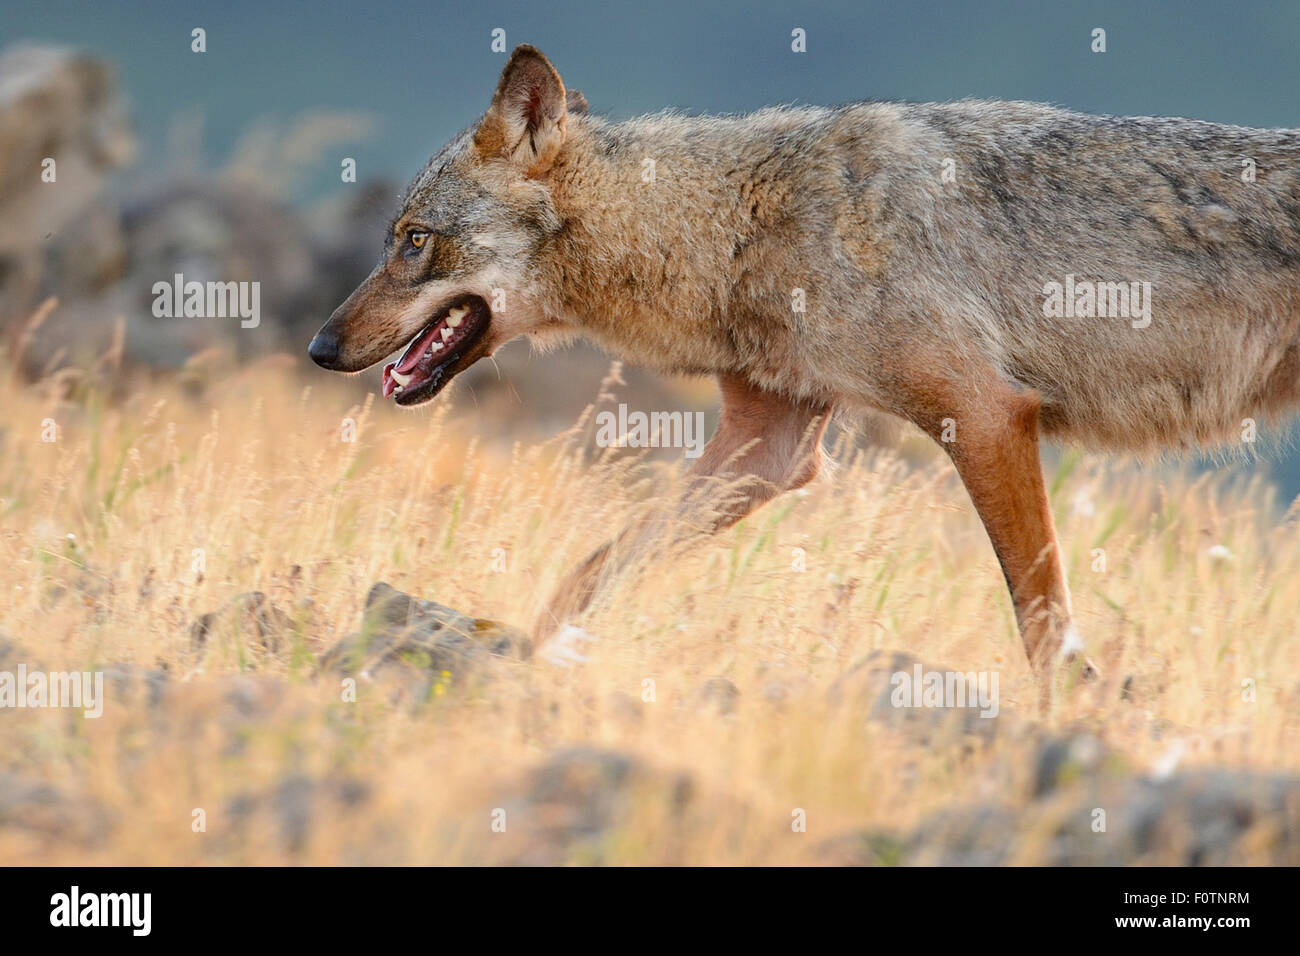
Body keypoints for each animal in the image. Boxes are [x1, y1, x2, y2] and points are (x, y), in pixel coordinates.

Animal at [309, 44, 1300, 681]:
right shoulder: (767, 448)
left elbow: (1042, 626)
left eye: (413, 241)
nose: (321, 348)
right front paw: (534, 667)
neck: (737, 225)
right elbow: (589, 574)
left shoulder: (985, 417)